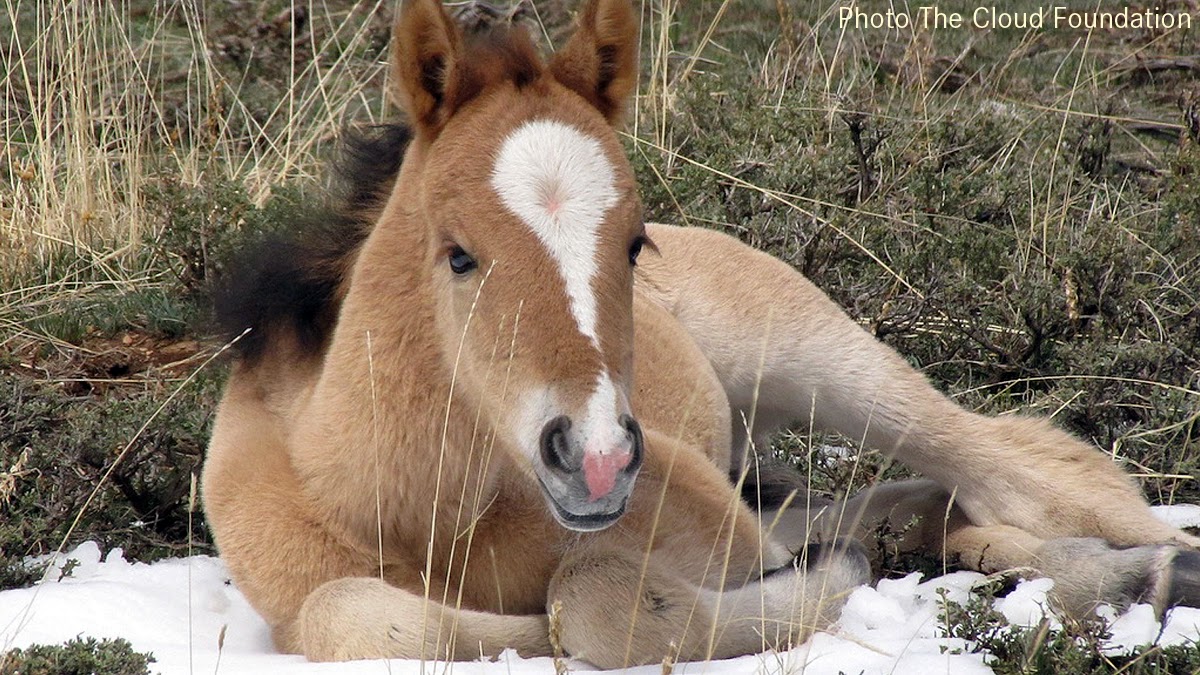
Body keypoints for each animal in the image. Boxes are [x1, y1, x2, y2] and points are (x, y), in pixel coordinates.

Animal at [201, 0, 1200, 667]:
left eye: (633, 242)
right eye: (457, 253)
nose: (596, 457)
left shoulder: (705, 524)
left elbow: (587, 599)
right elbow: (356, 613)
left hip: (821, 359)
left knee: (1023, 467)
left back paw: (1151, 573)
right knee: (932, 503)